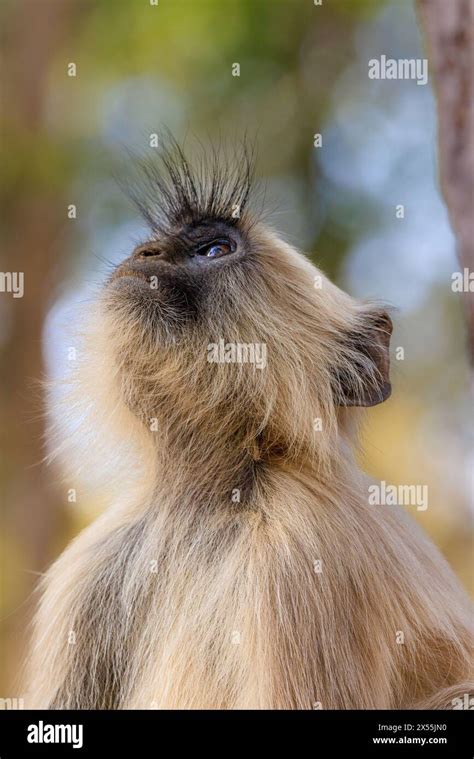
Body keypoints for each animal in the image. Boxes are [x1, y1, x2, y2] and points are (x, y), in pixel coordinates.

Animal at [26, 140, 473, 710]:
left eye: (214, 249)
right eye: (156, 245)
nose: (145, 253)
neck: (207, 501)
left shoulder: (302, 553)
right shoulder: (91, 567)